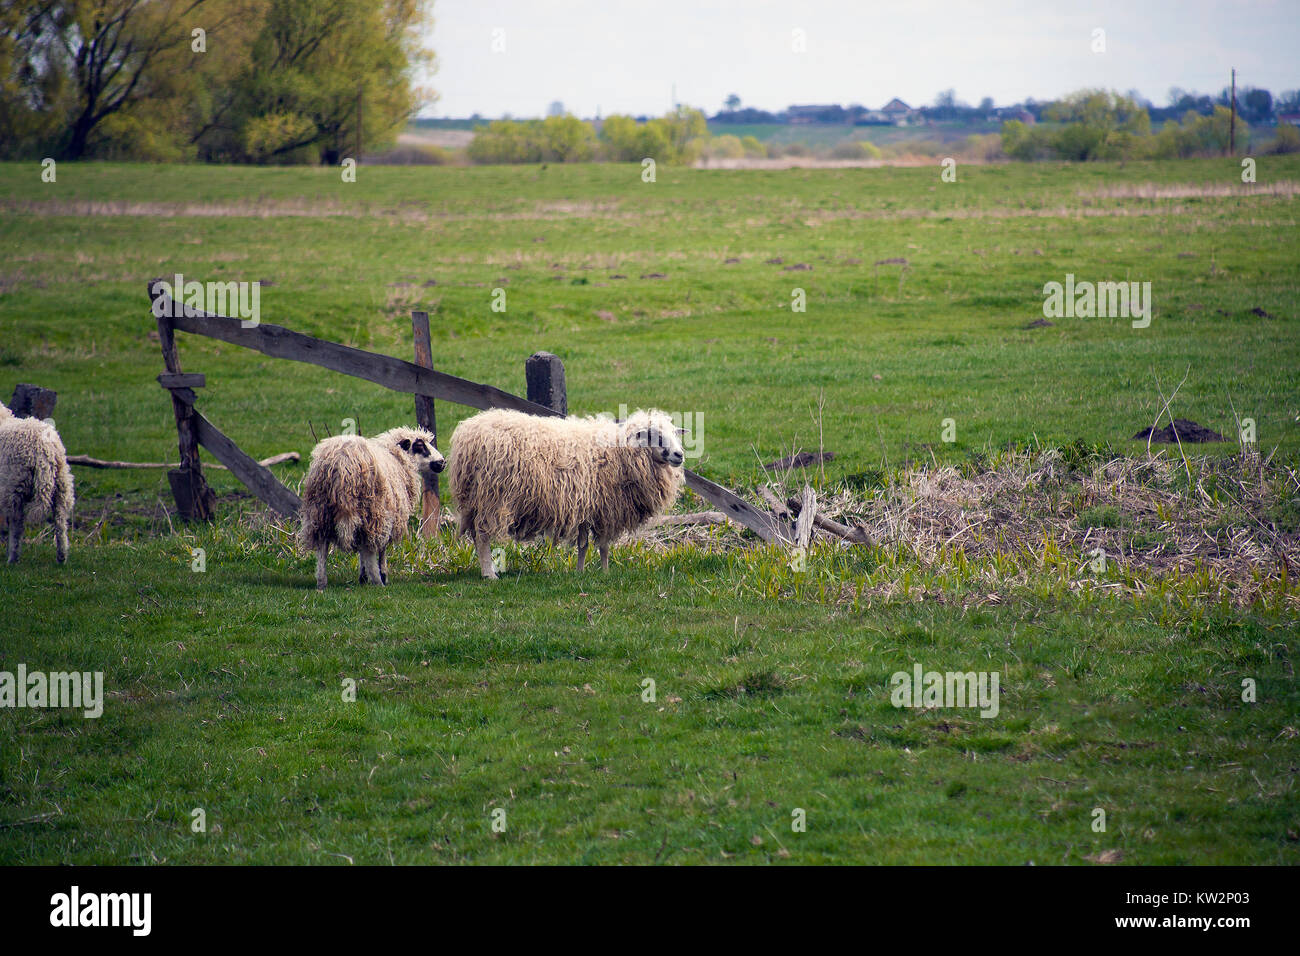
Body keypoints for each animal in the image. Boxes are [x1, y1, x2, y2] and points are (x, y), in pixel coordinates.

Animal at [0, 416, 74, 565]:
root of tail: (43, 449)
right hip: (61, 482)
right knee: (60, 521)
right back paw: (61, 557)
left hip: (15, 484)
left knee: (16, 524)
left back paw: (12, 558)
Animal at [299, 426, 444, 589]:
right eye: (419, 446)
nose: (442, 462)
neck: (397, 458)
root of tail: (342, 462)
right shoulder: (389, 516)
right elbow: (382, 549)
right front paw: (382, 574)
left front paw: (363, 576)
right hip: (373, 511)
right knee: (369, 548)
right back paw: (377, 580)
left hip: (320, 511)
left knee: (322, 546)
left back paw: (322, 582)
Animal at [448, 407, 685, 579]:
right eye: (655, 436)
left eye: (675, 435)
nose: (679, 455)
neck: (620, 452)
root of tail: (468, 436)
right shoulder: (606, 508)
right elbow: (604, 546)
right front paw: (606, 573)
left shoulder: (587, 506)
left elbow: (584, 544)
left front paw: (580, 572)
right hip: (492, 496)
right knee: (482, 536)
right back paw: (490, 574)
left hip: (474, 499)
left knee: (476, 534)